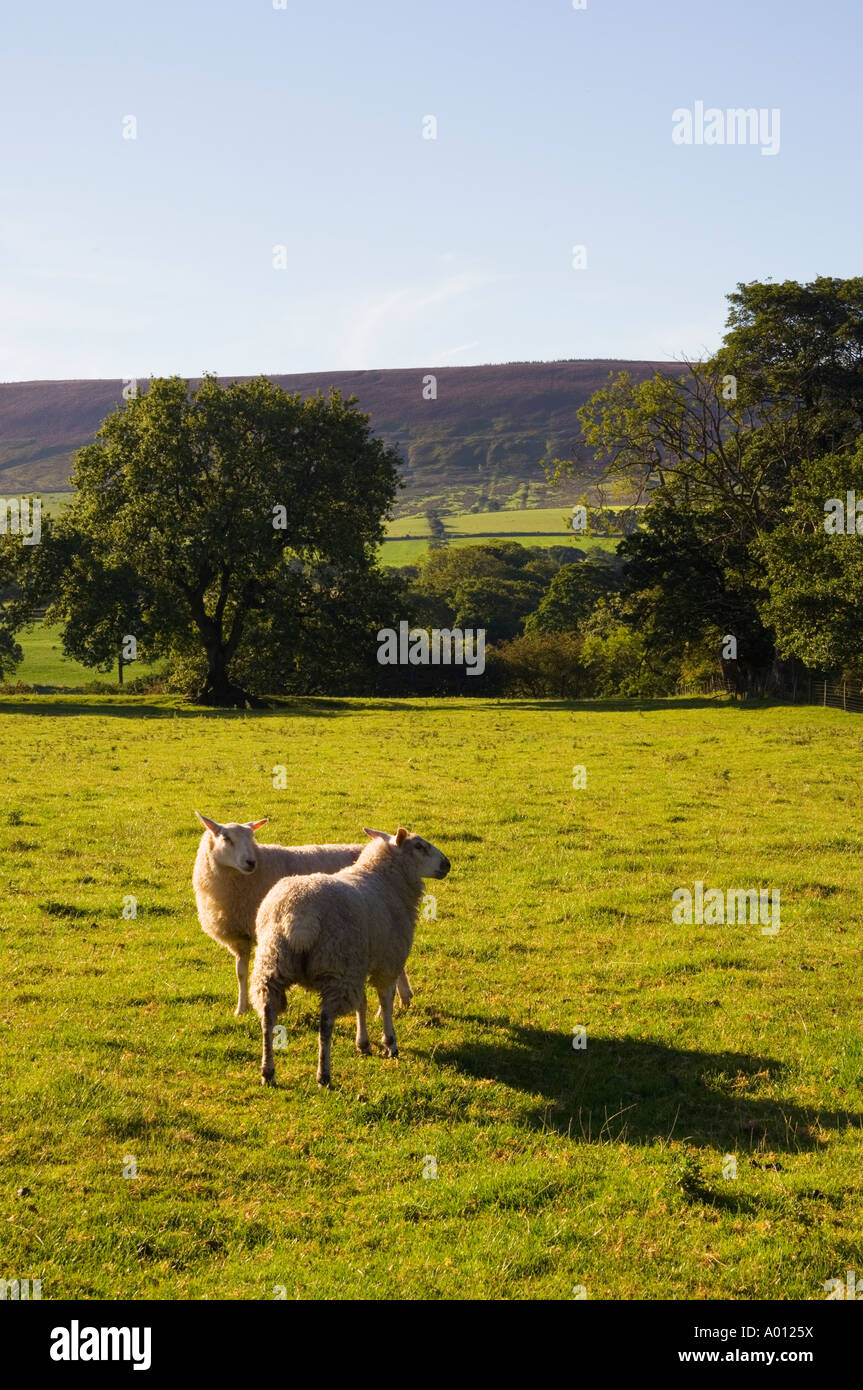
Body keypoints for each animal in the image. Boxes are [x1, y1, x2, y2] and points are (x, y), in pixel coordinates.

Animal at [192, 813, 414, 1017]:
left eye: (251, 838)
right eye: (226, 838)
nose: (250, 862)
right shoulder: (240, 937)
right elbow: (241, 973)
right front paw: (241, 1008)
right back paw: (404, 999)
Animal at [251, 826, 450, 1087]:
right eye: (419, 846)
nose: (447, 864)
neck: (386, 879)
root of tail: (298, 916)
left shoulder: (360, 964)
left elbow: (361, 1003)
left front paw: (363, 1044)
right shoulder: (387, 962)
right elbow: (385, 1001)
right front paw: (390, 1043)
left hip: (273, 964)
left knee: (267, 1016)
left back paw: (268, 1071)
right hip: (336, 968)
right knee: (325, 1023)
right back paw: (324, 1075)